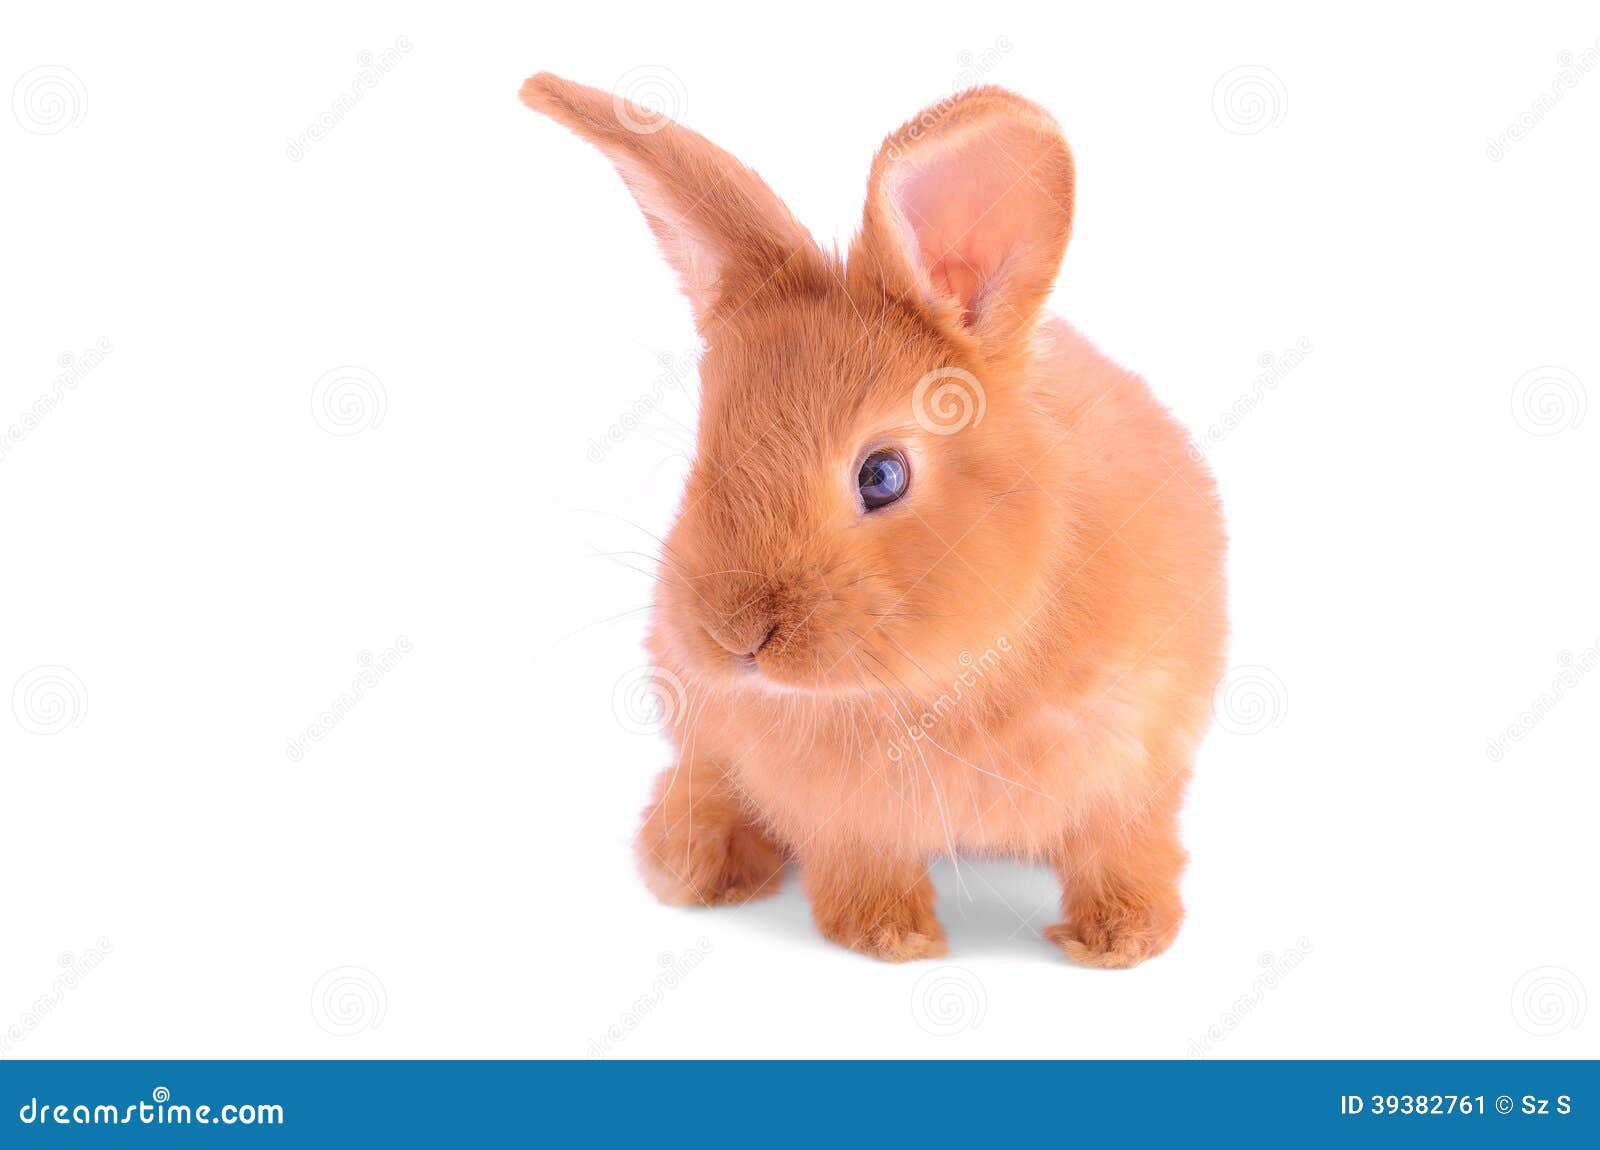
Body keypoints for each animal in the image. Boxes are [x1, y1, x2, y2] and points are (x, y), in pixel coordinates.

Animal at [520, 73, 1227, 967]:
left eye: (882, 476)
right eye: (704, 456)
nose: (734, 635)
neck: (933, 680)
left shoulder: (1138, 762)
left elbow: (1123, 849)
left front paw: (1123, 939)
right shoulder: (834, 813)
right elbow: (858, 866)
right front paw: (895, 939)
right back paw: (691, 864)